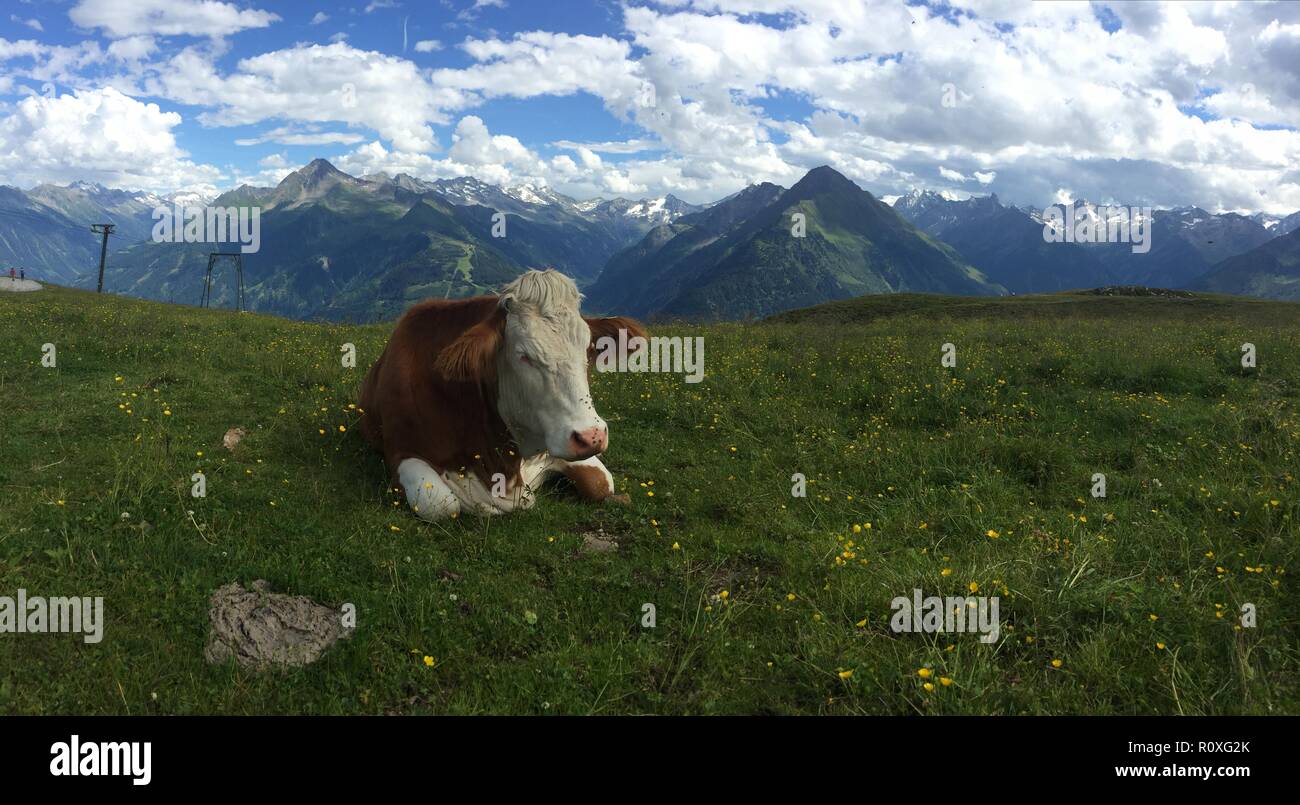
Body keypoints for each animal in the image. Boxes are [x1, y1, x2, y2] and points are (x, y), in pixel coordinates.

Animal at [359, 269, 646, 521]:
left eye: (587, 348)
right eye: (524, 356)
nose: (591, 436)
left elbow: (602, 483)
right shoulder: (400, 452)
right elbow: (441, 504)